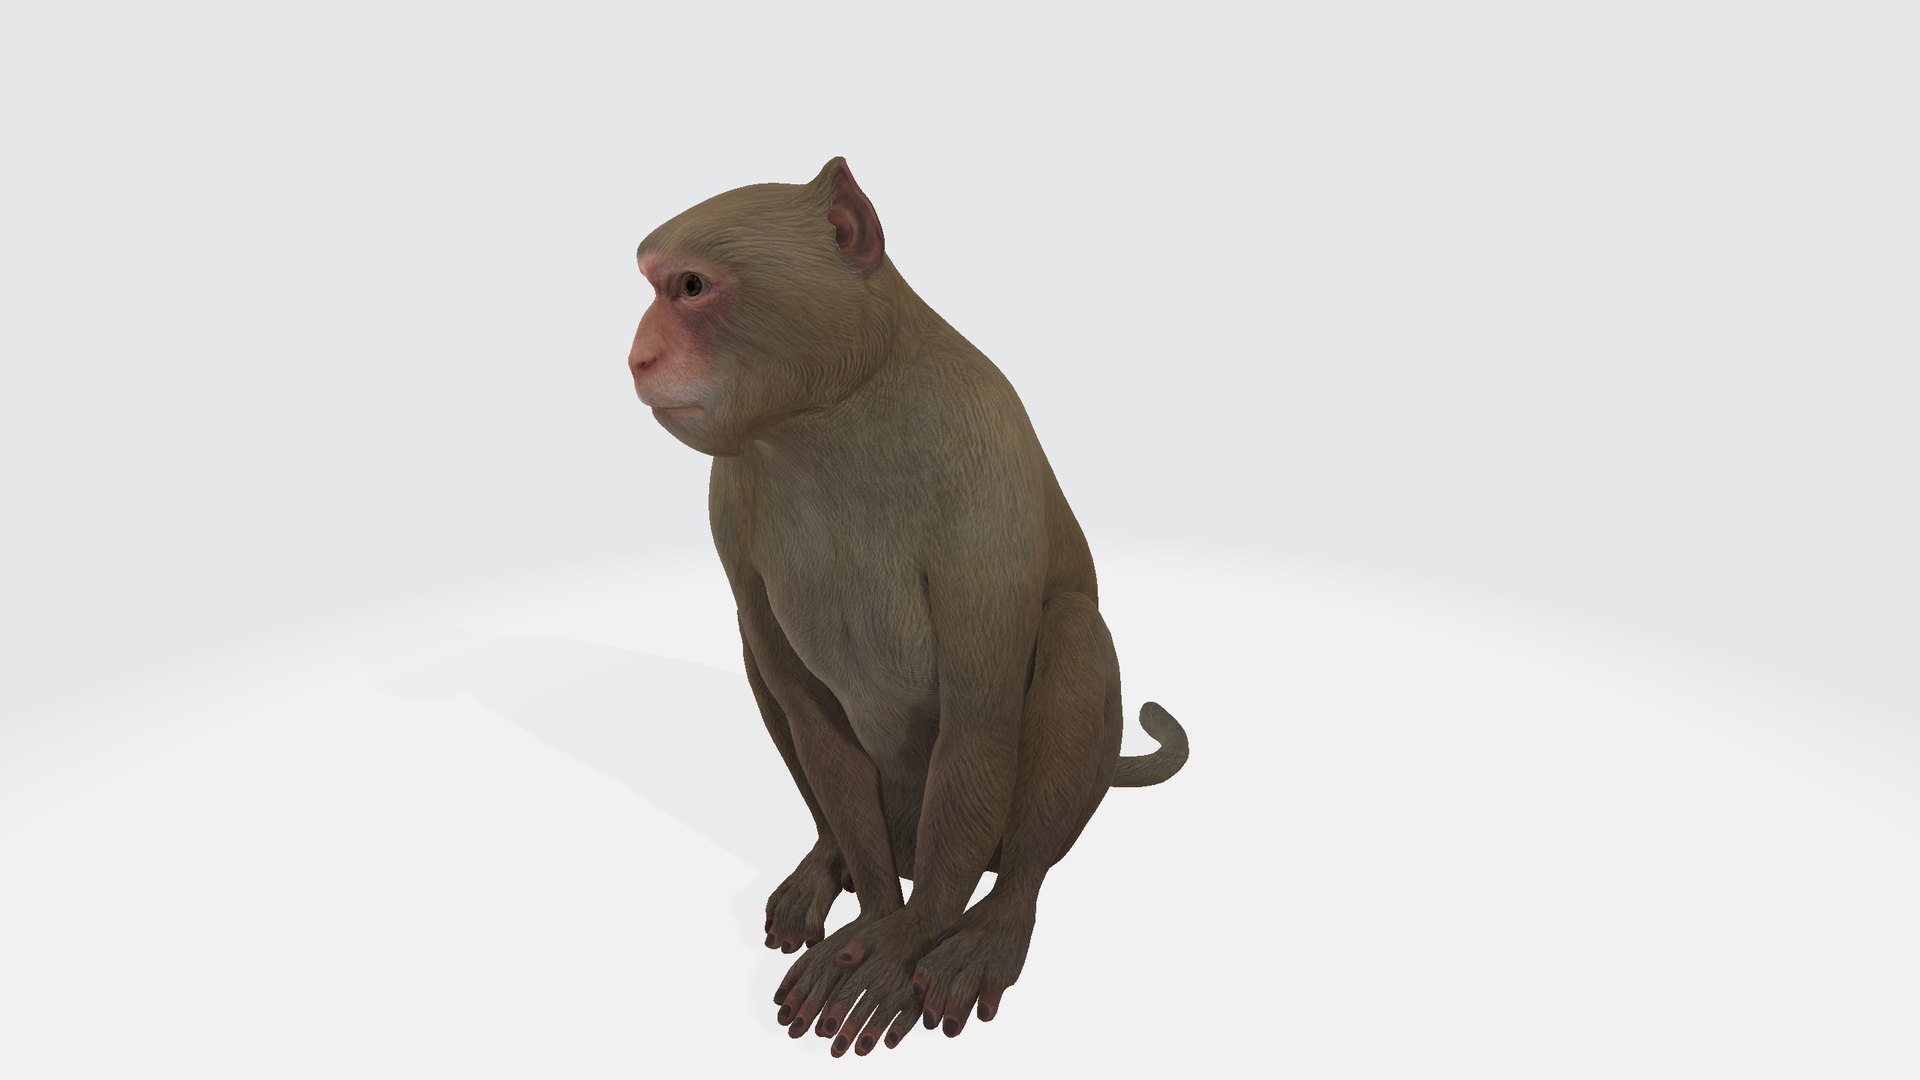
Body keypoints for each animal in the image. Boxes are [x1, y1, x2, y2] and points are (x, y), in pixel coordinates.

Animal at [628, 158, 1189, 1057]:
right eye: (657, 285)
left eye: (690, 286)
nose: (639, 358)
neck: (833, 416)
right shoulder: (728, 496)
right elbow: (806, 706)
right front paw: (875, 918)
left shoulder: (984, 458)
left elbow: (979, 719)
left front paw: (900, 945)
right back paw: (832, 860)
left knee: (1072, 634)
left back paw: (996, 918)